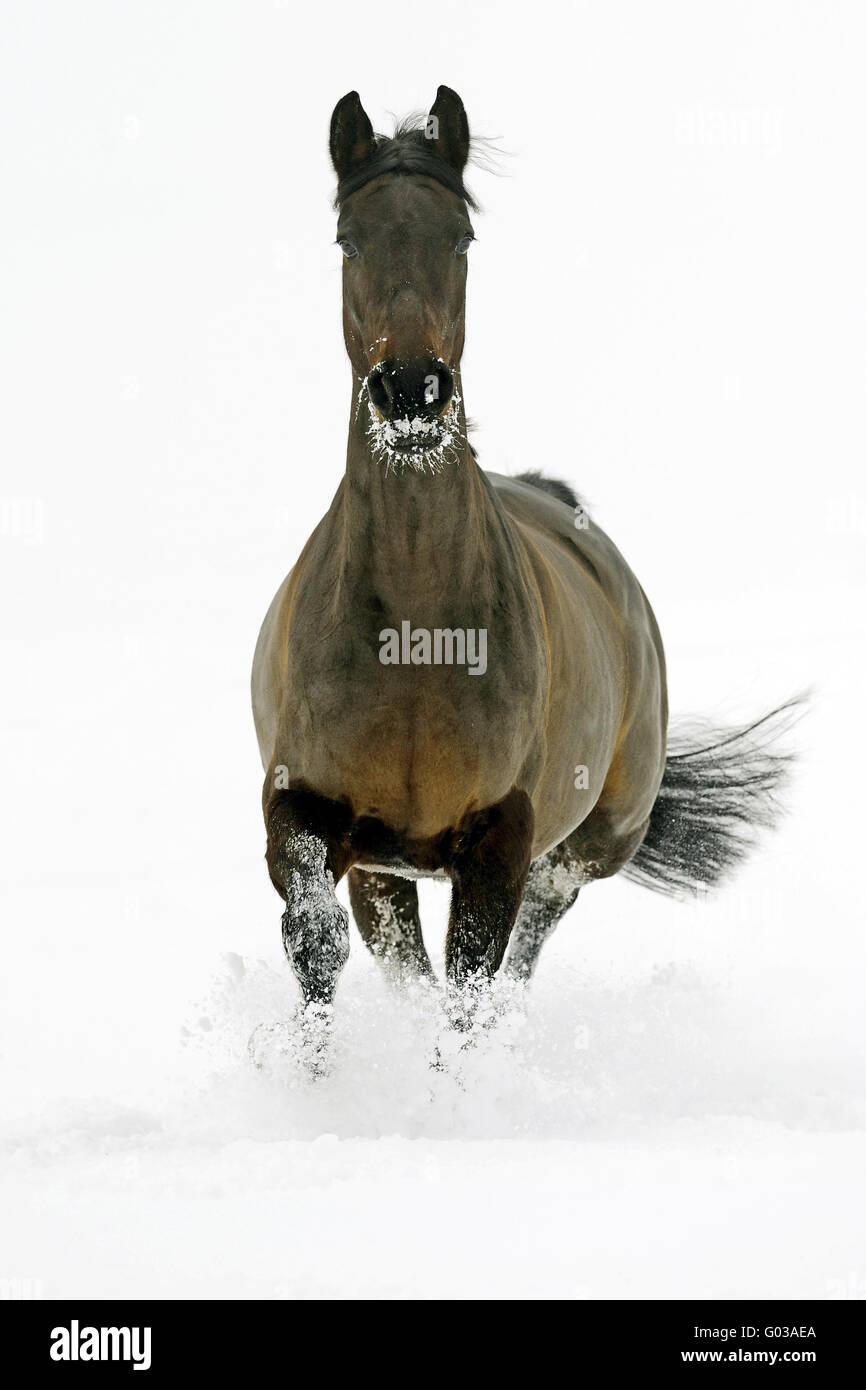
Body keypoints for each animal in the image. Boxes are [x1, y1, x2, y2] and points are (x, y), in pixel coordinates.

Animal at [251, 86, 796, 1058]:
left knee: (520, 957)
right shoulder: (304, 811)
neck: (417, 633)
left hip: (580, 852)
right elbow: (316, 943)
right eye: (348, 239)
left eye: (462, 237)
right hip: (386, 869)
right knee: (397, 951)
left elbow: (471, 988)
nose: (412, 392)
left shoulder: (499, 842)